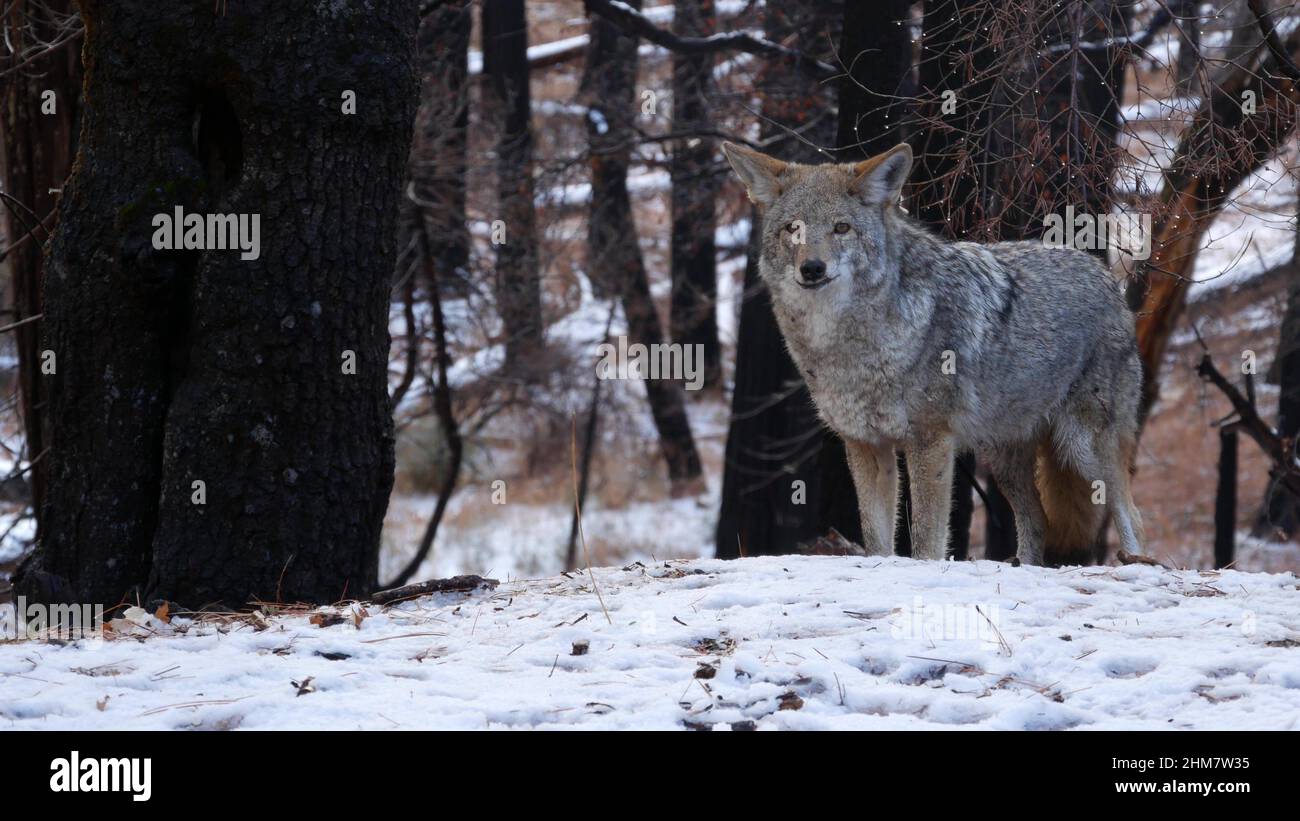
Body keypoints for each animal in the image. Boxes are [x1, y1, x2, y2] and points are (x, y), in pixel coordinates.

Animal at [722, 140, 1146, 566]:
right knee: (1038, 519)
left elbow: (927, 540)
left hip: (1084, 447)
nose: (812, 268)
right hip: (1003, 457)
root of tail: (1106, 275)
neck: (852, 346)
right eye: (793, 228)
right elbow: (876, 537)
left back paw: (1137, 561)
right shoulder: (864, 444)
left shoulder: (930, 441)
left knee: (1130, 512)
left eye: (841, 228)